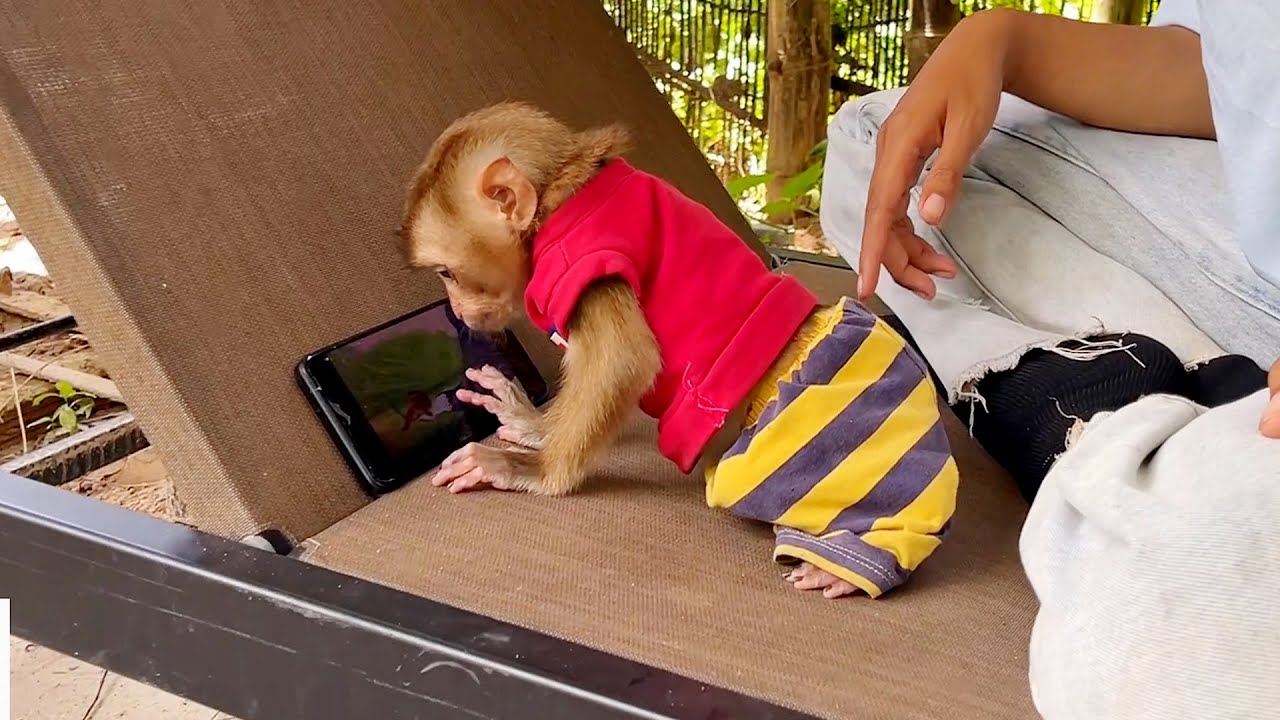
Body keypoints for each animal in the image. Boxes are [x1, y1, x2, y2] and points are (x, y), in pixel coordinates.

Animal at [400, 102, 960, 599]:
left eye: (447, 273)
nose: (457, 310)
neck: (560, 198)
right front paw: (529, 422)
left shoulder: (580, 256)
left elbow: (624, 361)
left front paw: (534, 469)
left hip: (823, 416)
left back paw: (857, 554)